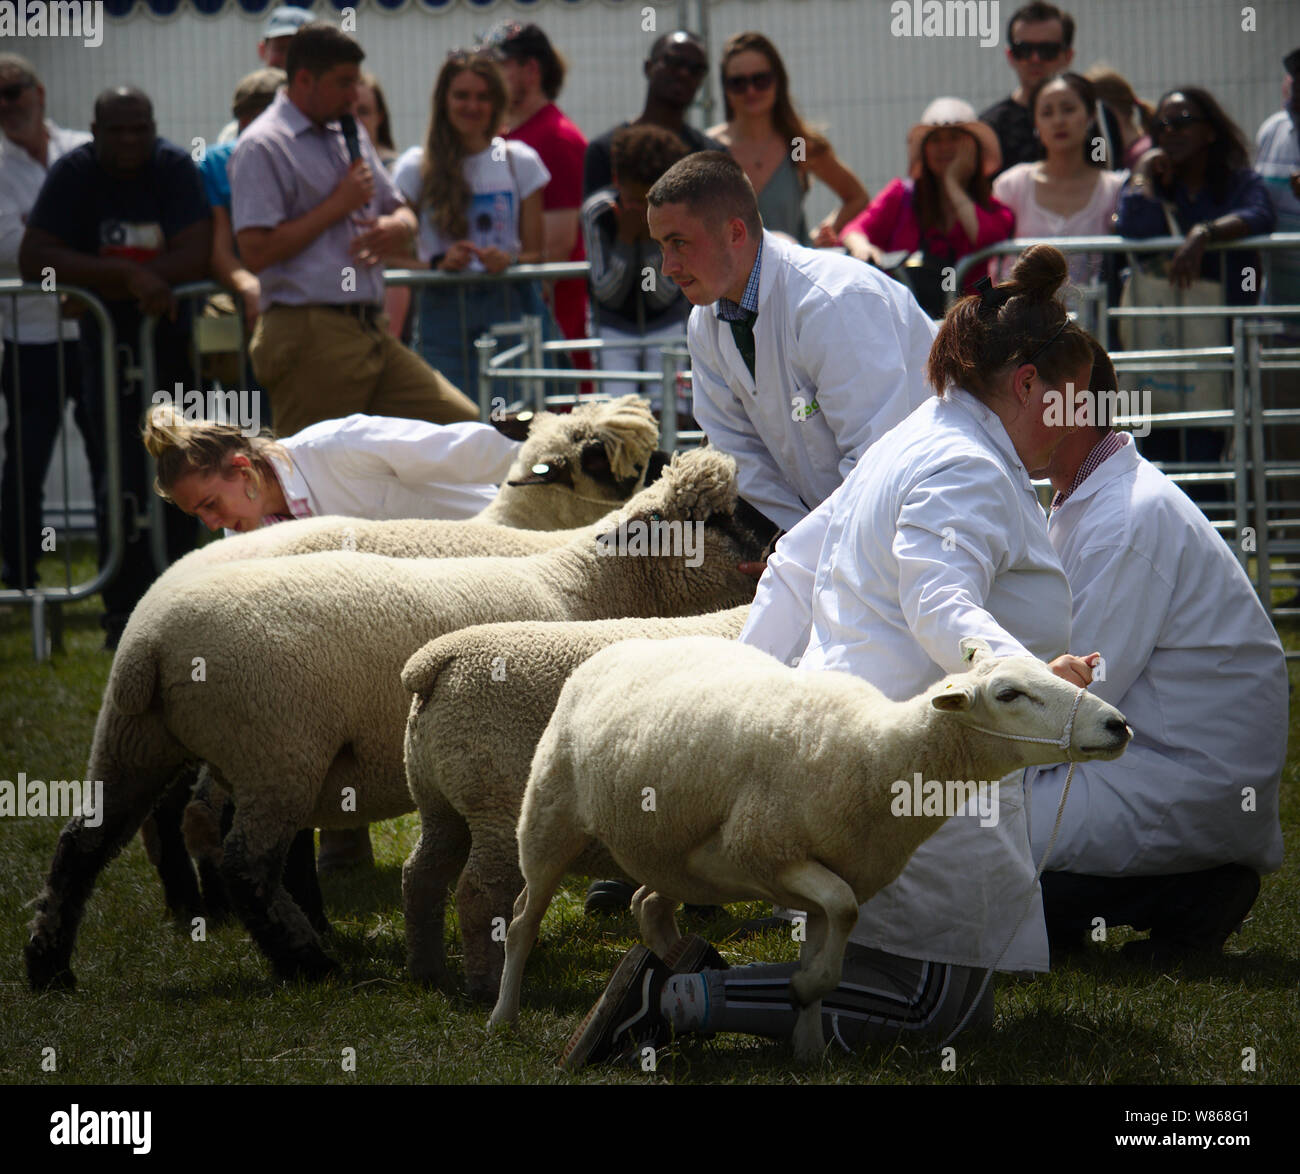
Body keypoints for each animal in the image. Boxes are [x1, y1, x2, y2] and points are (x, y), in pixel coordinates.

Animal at [401, 606, 750, 1000]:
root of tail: (434, 661)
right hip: (497, 805)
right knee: (480, 892)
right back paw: (486, 986)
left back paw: (428, 973)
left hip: (440, 804)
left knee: (421, 874)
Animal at [488, 637, 1132, 1062]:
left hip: (670, 850)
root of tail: (617, 645)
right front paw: (799, 1000)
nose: (1117, 725)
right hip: (549, 815)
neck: (877, 754)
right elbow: (839, 915)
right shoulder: (765, 850)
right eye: (1009, 693)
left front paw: (808, 1044)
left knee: (646, 905)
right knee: (522, 921)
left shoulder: (833, 871)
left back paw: (670, 972)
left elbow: (832, 946)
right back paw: (505, 1016)